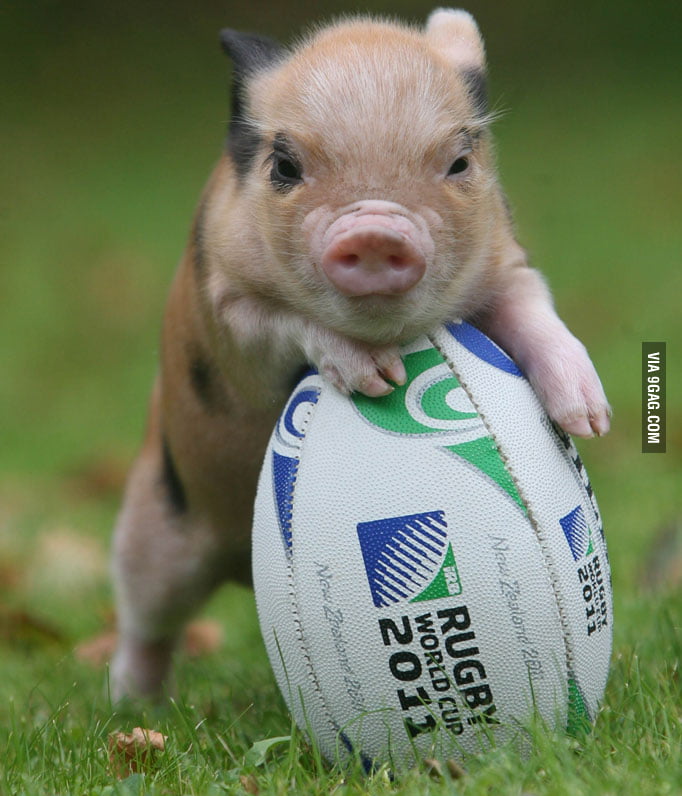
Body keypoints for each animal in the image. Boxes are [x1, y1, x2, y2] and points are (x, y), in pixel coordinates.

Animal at [111, 8, 610, 700]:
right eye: (284, 166)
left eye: (459, 162)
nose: (375, 230)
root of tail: (242, 564)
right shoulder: (228, 306)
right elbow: (284, 322)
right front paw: (376, 380)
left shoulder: (508, 264)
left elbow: (534, 313)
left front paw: (589, 419)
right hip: (157, 519)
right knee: (144, 614)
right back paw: (134, 705)